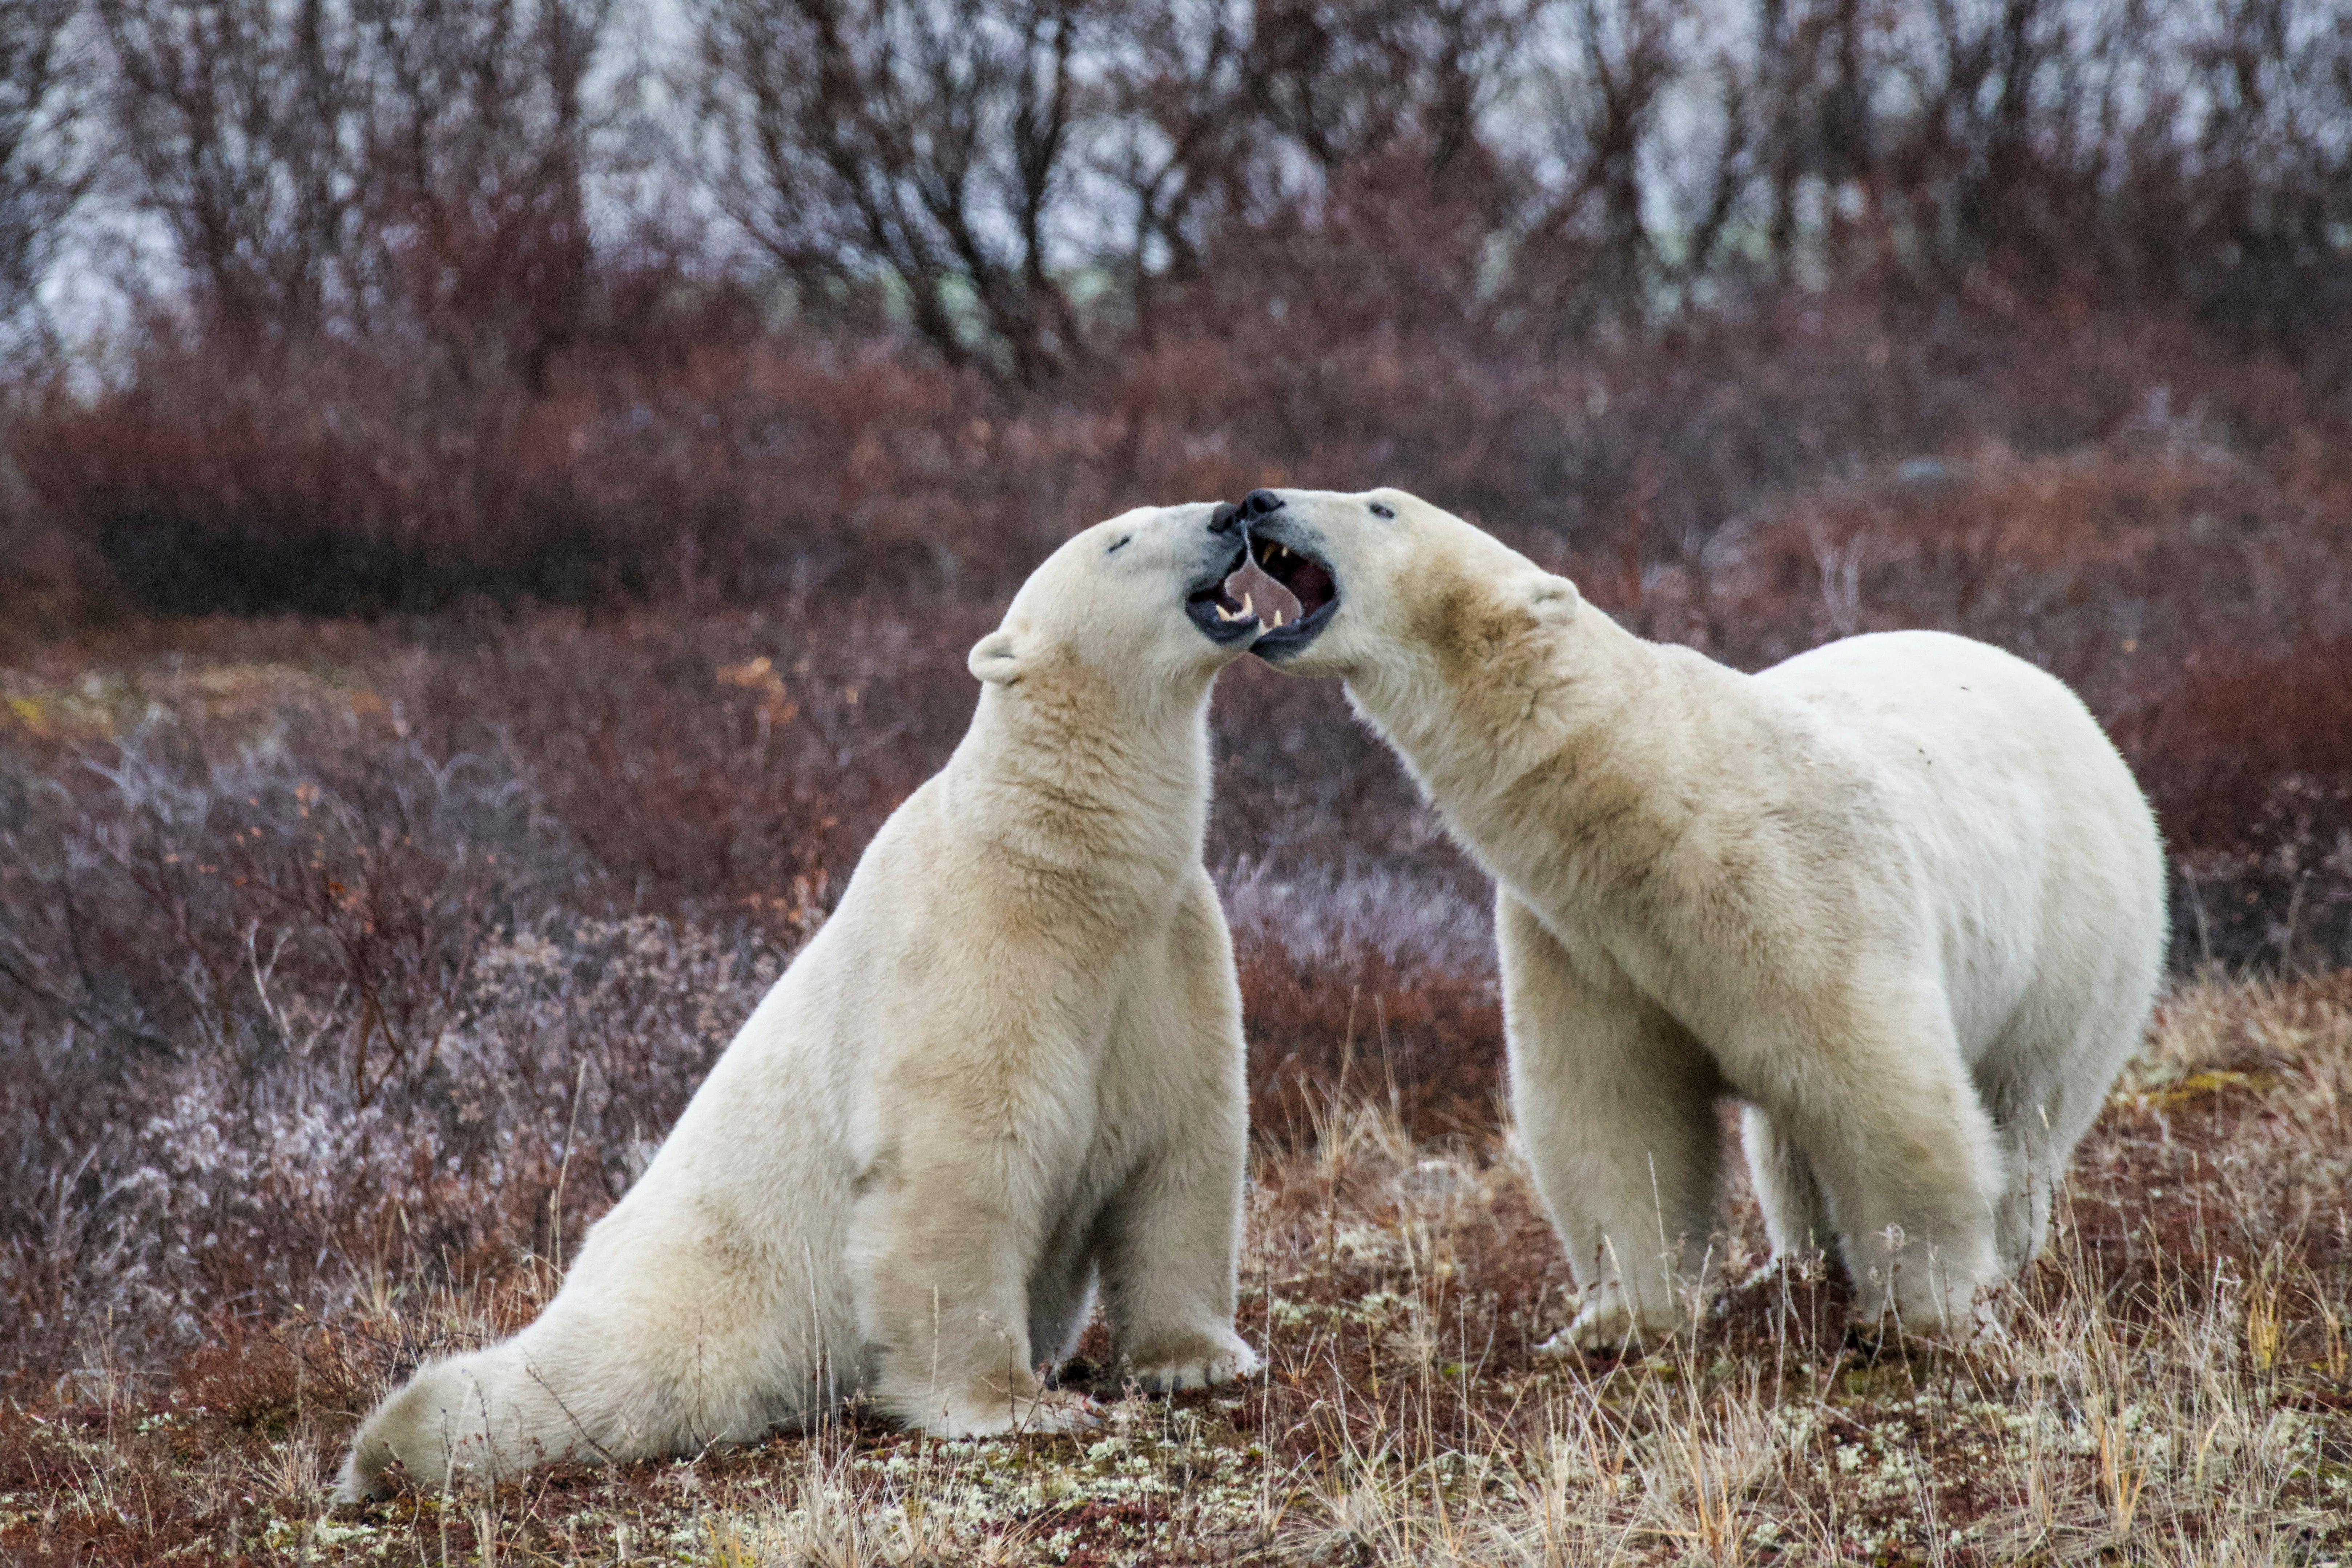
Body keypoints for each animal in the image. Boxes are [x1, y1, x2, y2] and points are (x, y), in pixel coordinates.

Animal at [334, 500, 1270, 1502]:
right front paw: (1015, 1405)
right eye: (1121, 539)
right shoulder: (974, 948)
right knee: (594, 1385)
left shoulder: (1166, 955)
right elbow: (958, 1169)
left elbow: (1185, 1150)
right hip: (714, 1294)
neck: (1062, 862)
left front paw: (1199, 1359)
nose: (1229, 515)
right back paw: (399, 1438)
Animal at [1233, 484, 2165, 1348]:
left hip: (2078, 937)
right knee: (1789, 1149)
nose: (1257, 499)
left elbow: (1888, 1093)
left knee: (2026, 1106)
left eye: (1380, 507)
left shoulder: (1796, 885)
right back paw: (1795, 1265)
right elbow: (1611, 1109)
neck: (1645, 785)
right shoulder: (1579, 936)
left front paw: (1924, 1312)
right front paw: (1616, 1320)